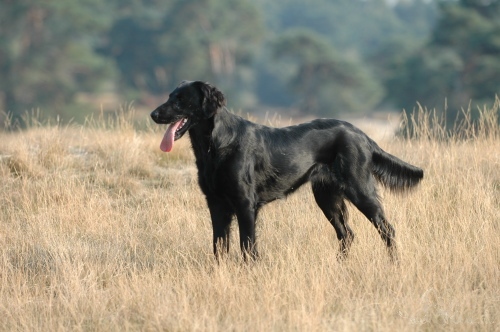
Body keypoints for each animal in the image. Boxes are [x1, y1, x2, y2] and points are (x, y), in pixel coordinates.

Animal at [151, 81, 422, 262]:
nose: (153, 114)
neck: (214, 145)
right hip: (326, 197)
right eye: (170, 96)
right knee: (347, 234)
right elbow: (219, 245)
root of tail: (361, 134)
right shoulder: (216, 203)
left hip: (360, 190)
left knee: (387, 229)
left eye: (180, 99)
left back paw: (395, 264)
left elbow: (247, 245)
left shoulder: (245, 203)